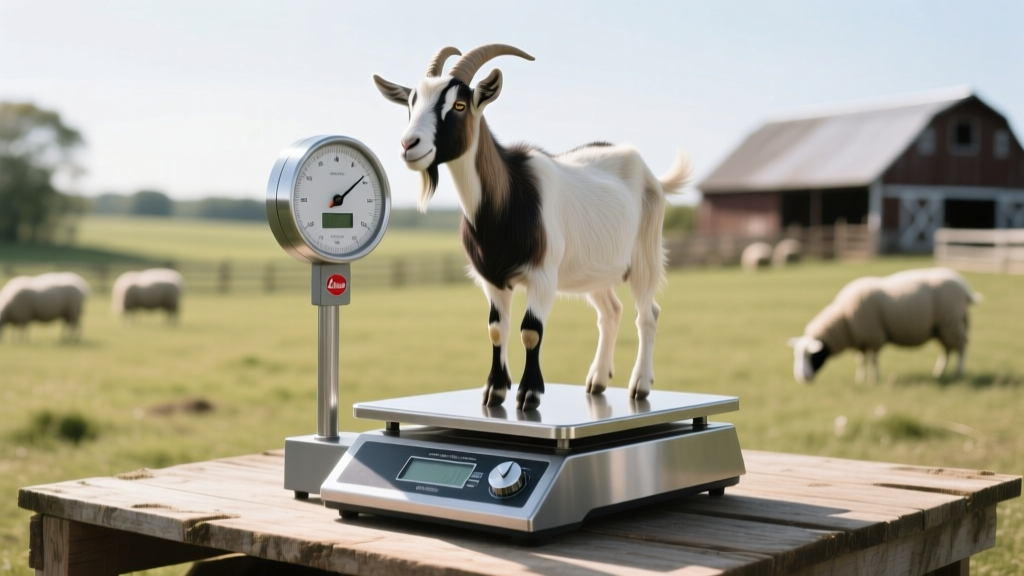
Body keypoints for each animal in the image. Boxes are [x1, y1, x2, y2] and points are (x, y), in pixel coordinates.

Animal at [374, 44, 691, 410]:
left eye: (459, 105)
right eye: (411, 103)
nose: (409, 144)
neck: (506, 199)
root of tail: (649, 172)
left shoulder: (542, 276)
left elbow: (530, 331)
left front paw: (529, 394)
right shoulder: (493, 279)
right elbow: (497, 329)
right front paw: (495, 391)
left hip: (644, 256)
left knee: (648, 313)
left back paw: (640, 385)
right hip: (594, 270)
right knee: (611, 312)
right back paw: (597, 381)